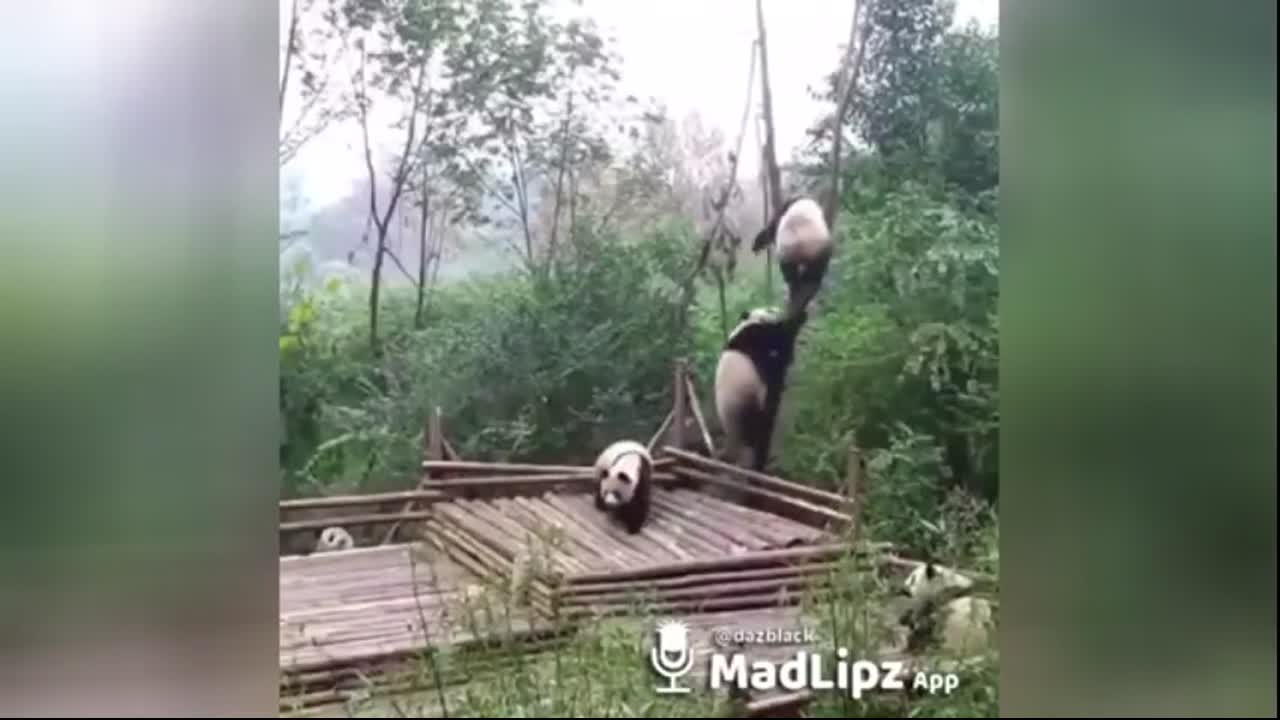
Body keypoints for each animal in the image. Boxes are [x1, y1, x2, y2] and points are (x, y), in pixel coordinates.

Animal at [714, 305, 809, 474]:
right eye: (770, 310)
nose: (777, 309)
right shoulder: (754, 334)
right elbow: (778, 339)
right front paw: (798, 318)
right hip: (744, 407)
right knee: (761, 427)